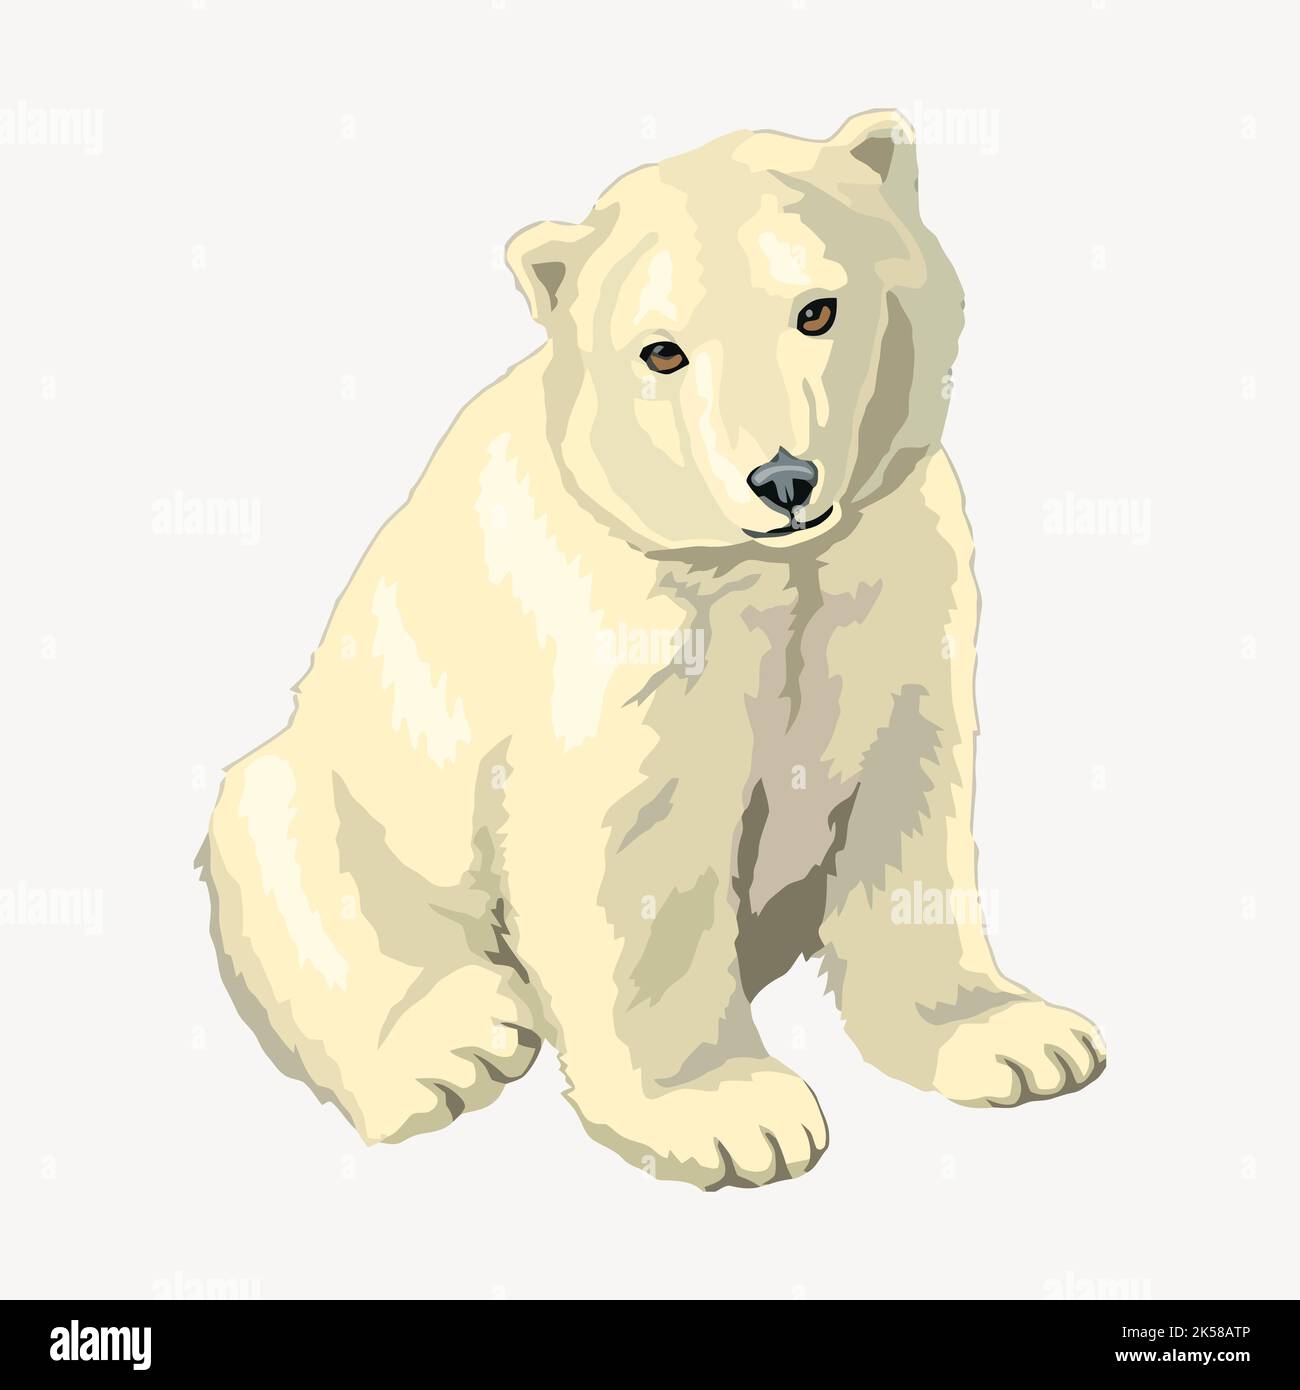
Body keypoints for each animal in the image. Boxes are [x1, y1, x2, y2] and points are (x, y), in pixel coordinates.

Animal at [198, 109, 1106, 1189]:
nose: (784, 478)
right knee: (292, 845)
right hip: (351, 781)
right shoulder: (622, 625)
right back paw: (453, 1048)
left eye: (817, 309)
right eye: (662, 352)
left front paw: (1018, 1039)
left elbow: (910, 801)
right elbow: (637, 847)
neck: (767, 569)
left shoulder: (899, 573)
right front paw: (733, 1113)